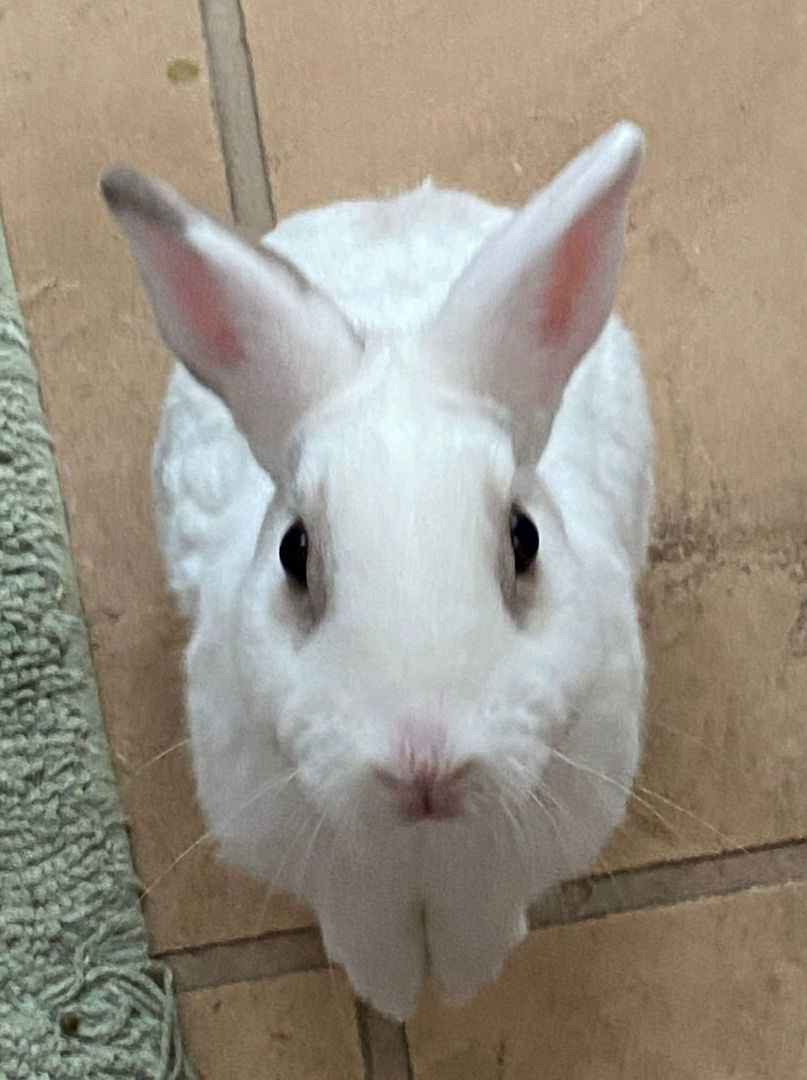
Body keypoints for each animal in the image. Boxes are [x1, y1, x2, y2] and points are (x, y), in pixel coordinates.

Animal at [101, 121, 652, 1020]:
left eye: (525, 538)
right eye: (293, 551)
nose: (423, 765)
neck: (420, 853)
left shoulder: (504, 865)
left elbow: (479, 921)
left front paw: (461, 984)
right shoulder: (333, 877)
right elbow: (364, 933)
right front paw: (392, 995)